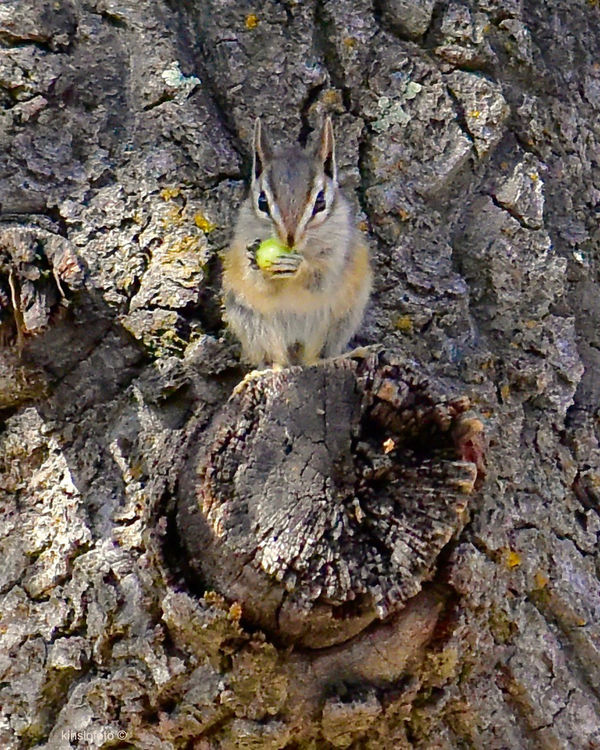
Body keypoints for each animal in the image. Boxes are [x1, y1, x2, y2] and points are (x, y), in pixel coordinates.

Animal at [222, 117, 372, 368]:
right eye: (262, 202)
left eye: (320, 202)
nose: (289, 239)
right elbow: (257, 281)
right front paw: (254, 260)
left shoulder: (339, 252)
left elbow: (321, 278)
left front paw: (298, 266)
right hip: (253, 321)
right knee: (278, 358)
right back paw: (267, 369)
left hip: (337, 319)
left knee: (312, 357)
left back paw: (339, 357)